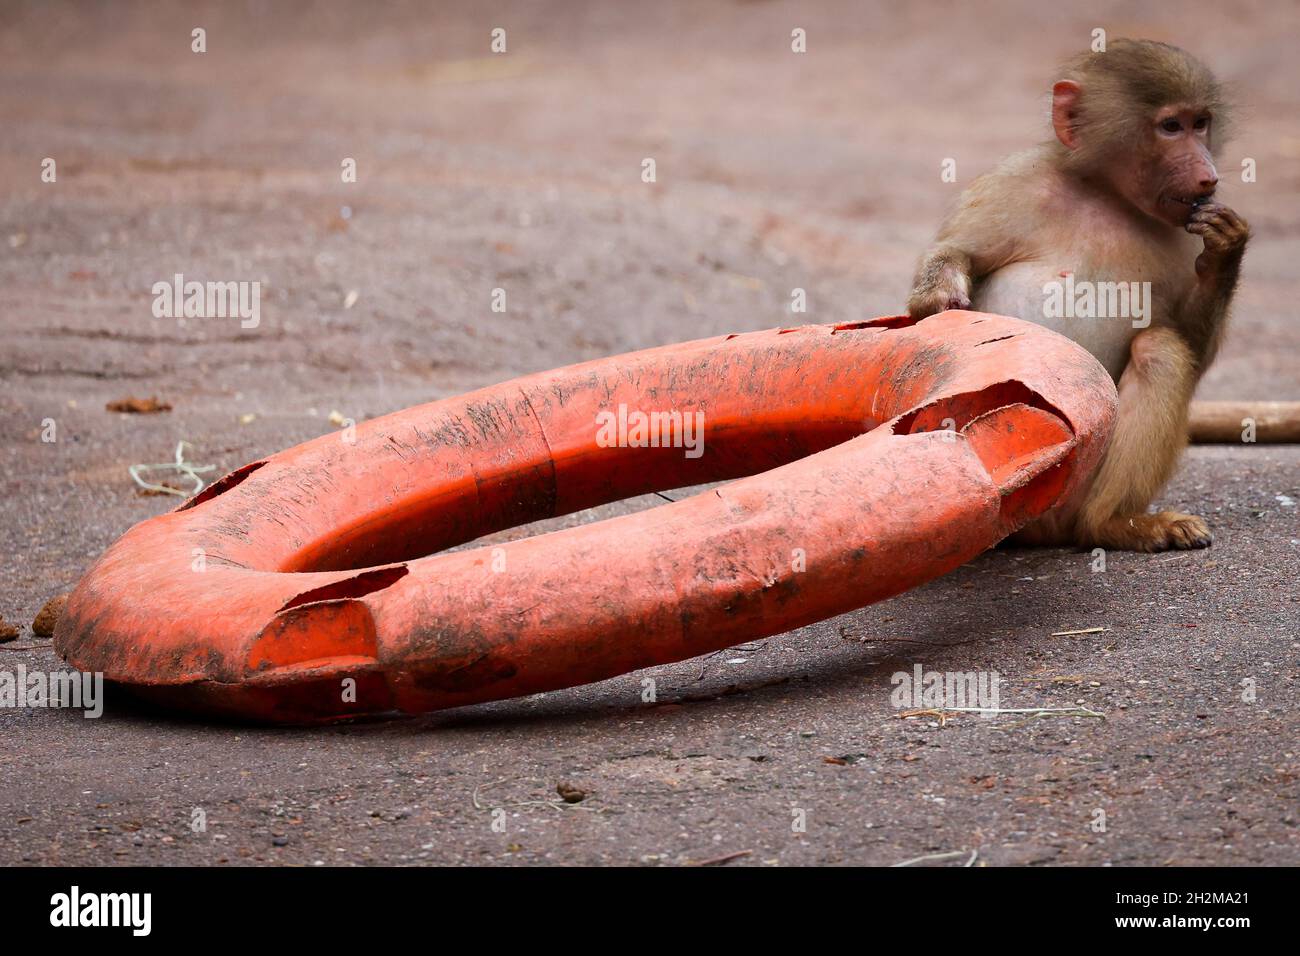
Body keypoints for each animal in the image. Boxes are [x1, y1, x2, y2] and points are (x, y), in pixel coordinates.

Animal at [907, 39, 1250, 552]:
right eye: (1171, 126)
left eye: (1201, 122)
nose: (1207, 174)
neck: (1106, 195)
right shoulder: (1013, 184)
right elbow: (959, 254)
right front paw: (939, 295)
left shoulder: (1183, 234)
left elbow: (1189, 344)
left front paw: (1226, 251)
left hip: (1074, 484)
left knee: (1159, 350)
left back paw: (1115, 523)